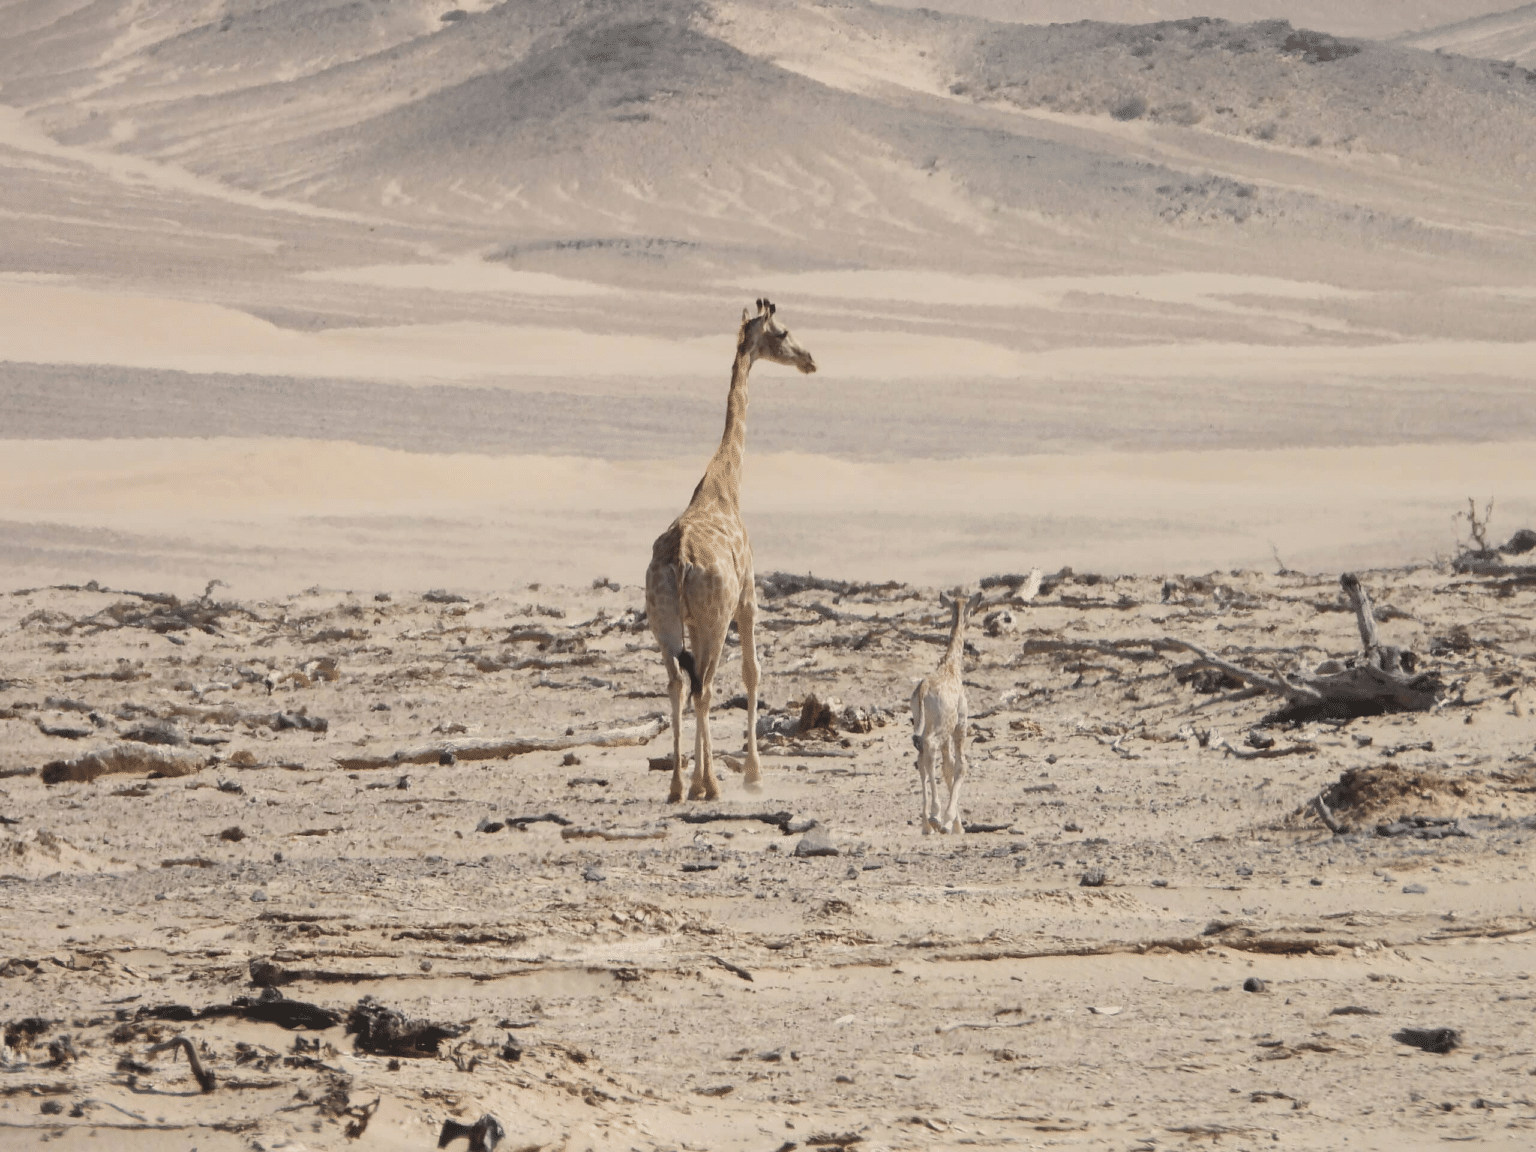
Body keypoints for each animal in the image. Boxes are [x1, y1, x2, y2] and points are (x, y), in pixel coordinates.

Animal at [645, 299, 817, 802]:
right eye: (783, 332)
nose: (809, 360)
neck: (725, 485)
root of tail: (681, 561)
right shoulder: (748, 597)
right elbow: (752, 671)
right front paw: (753, 774)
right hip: (714, 616)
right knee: (702, 686)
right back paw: (711, 785)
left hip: (661, 619)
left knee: (677, 684)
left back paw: (678, 786)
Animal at [910, 587, 983, 833]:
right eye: (972, 609)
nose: (969, 620)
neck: (952, 666)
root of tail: (923, 689)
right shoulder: (960, 723)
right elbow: (961, 766)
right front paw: (950, 820)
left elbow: (948, 767)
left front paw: (955, 824)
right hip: (941, 726)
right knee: (928, 750)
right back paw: (934, 815)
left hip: (921, 723)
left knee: (922, 757)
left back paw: (925, 823)